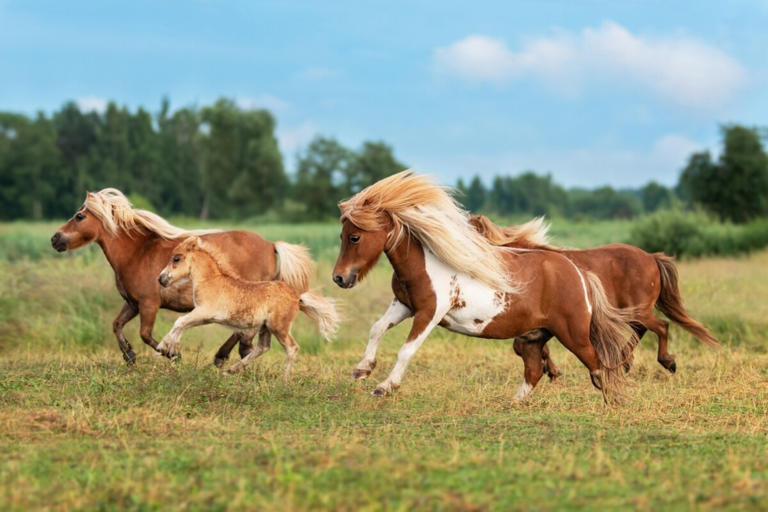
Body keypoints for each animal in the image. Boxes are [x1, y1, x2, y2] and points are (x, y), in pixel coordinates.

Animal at [51, 188, 314, 365]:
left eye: (79, 216)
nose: (55, 239)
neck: (137, 252)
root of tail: (271, 245)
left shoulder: (149, 304)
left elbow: (145, 334)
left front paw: (172, 354)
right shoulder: (132, 304)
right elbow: (116, 325)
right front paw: (129, 355)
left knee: (244, 336)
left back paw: (221, 357)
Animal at [156, 237, 339, 376]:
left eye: (176, 258)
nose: (161, 278)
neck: (211, 281)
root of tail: (297, 296)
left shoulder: (204, 311)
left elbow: (180, 321)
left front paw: (162, 347)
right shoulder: (204, 317)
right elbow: (182, 325)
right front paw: (171, 349)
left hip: (279, 326)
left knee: (292, 348)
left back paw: (284, 380)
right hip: (265, 327)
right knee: (262, 348)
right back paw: (230, 371)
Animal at [331, 170, 638, 402]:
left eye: (355, 237)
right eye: (342, 235)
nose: (339, 278)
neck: (427, 263)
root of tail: (579, 274)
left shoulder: (430, 312)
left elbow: (406, 349)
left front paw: (384, 386)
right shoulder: (404, 305)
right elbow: (377, 328)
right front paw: (362, 369)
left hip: (573, 335)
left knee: (599, 366)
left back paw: (614, 404)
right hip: (534, 336)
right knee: (534, 371)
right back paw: (513, 403)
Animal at [468, 215, 719, 379]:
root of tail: (651, 257)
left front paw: (552, 370)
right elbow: (528, 346)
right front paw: (551, 370)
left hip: (638, 309)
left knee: (660, 326)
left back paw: (666, 362)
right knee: (642, 329)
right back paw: (624, 361)